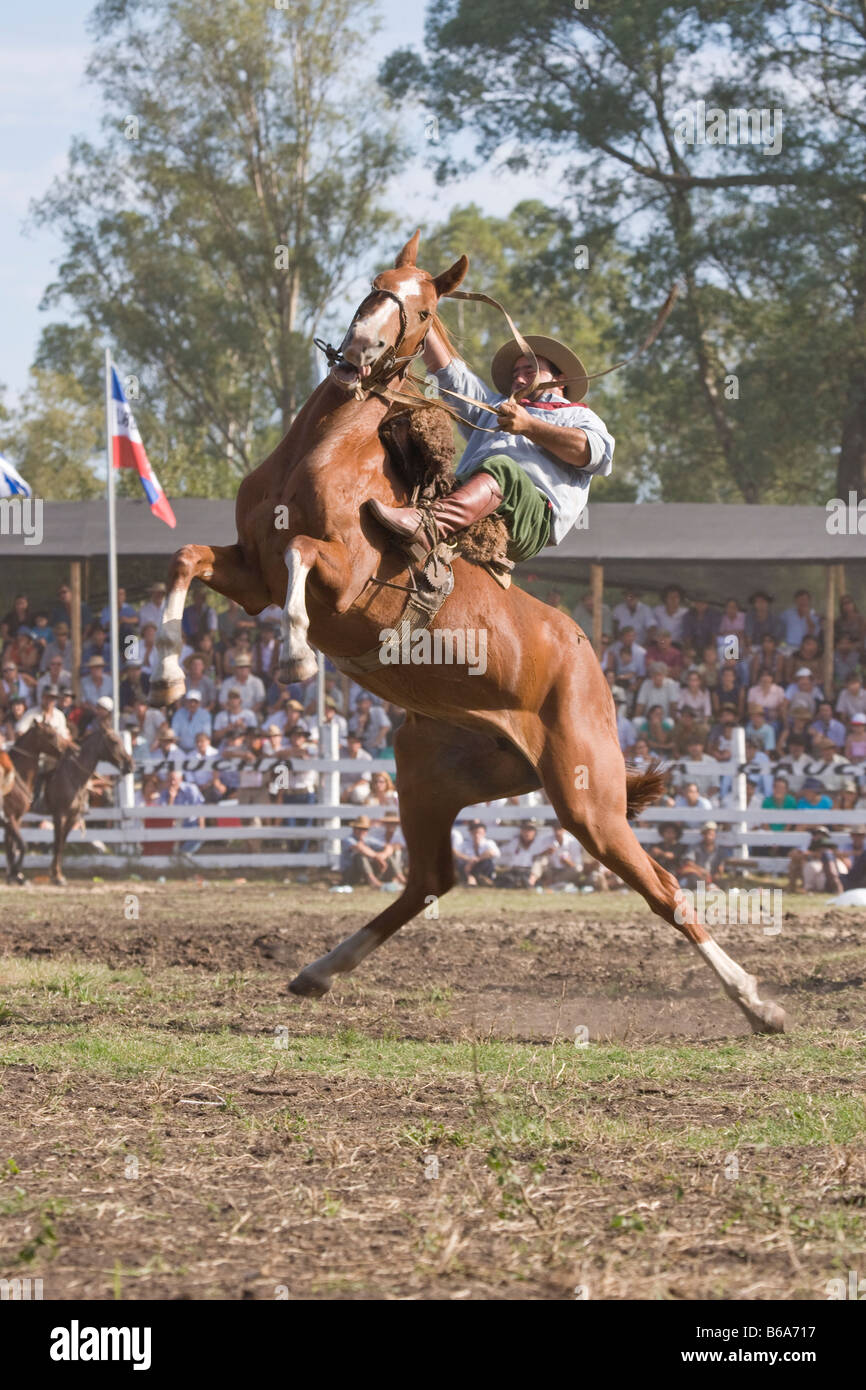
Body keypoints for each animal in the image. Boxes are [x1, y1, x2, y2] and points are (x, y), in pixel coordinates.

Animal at [2, 721, 70, 884]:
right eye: (51, 734)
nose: (67, 750)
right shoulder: (10, 818)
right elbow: (23, 845)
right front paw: (17, 873)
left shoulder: (16, 819)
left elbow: (11, 847)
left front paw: (14, 875)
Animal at [44, 721, 135, 885]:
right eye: (114, 741)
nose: (130, 765)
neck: (72, 776)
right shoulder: (59, 815)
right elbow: (57, 843)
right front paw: (56, 876)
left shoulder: (73, 816)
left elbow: (62, 843)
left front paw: (57, 874)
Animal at [149, 230, 785, 1035]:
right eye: (373, 286)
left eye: (420, 308)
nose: (357, 353)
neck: (327, 455)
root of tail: (588, 662)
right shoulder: (249, 572)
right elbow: (187, 558)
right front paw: (166, 675)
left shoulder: (342, 581)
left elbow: (302, 557)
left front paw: (293, 657)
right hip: (430, 773)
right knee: (429, 880)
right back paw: (318, 971)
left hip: (588, 798)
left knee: (666, 891)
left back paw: (758, 1002)